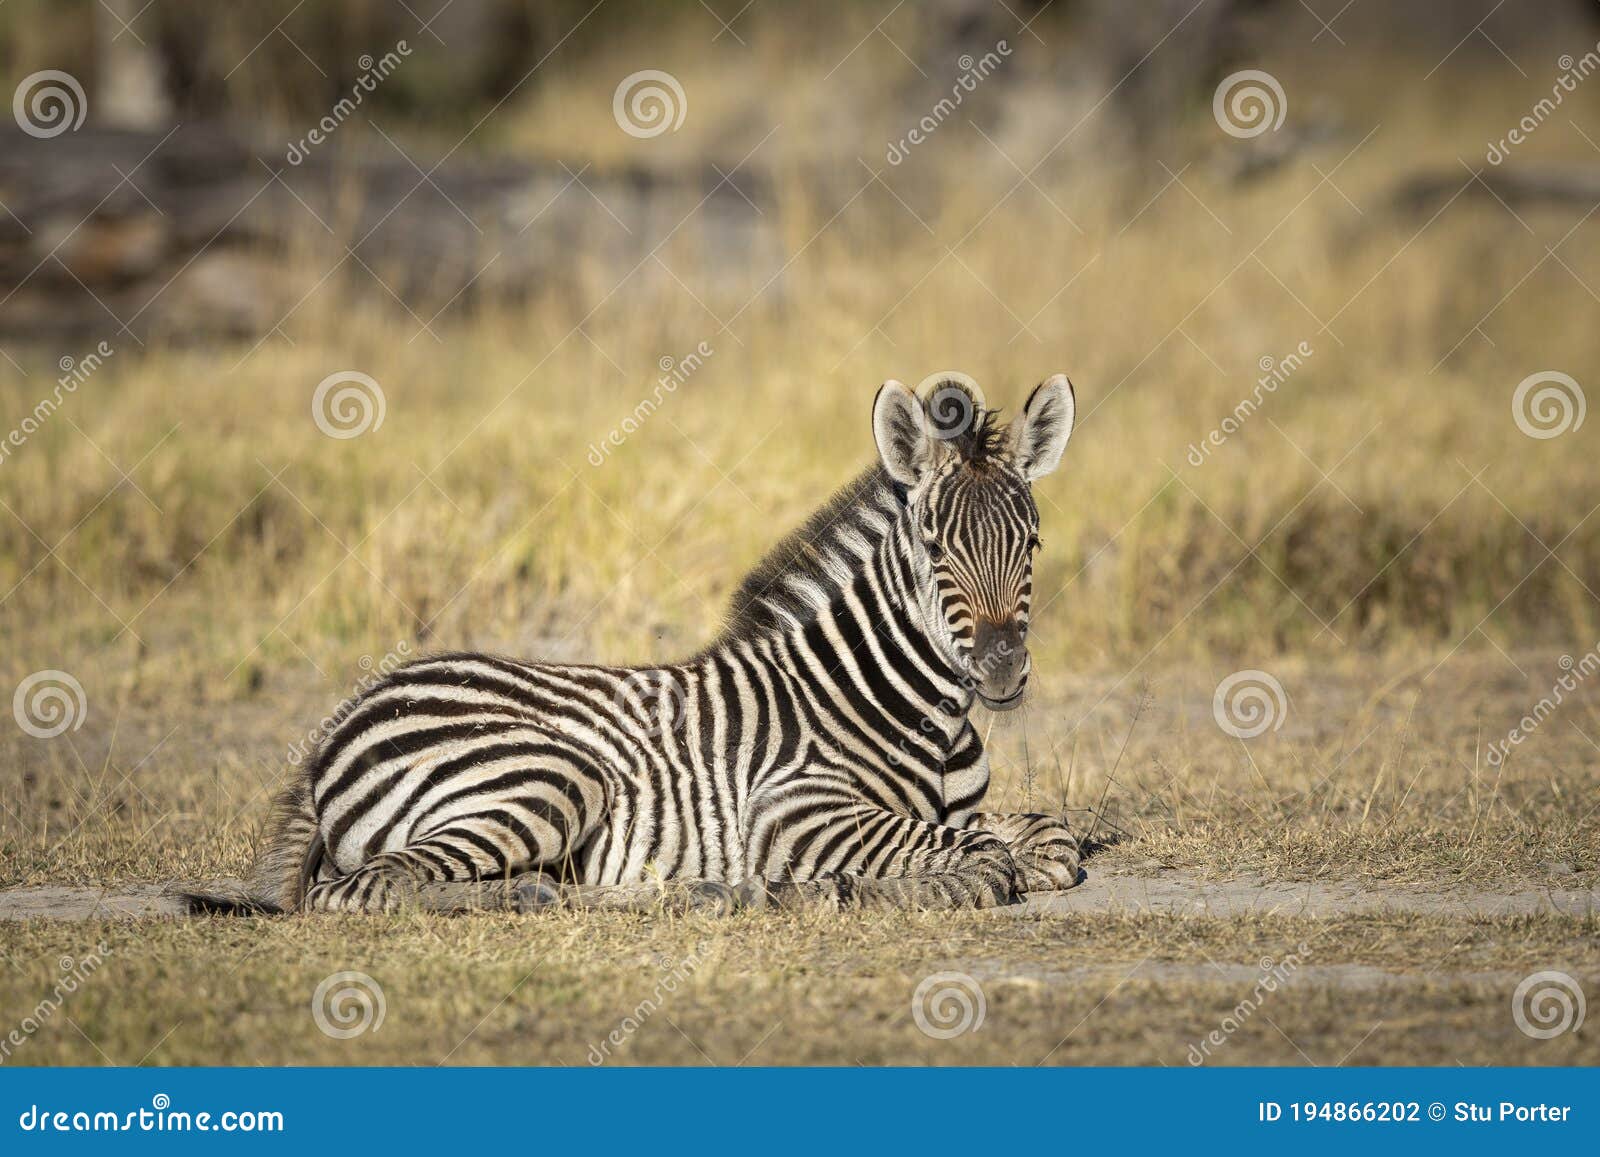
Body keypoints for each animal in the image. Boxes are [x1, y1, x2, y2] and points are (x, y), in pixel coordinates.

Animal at [191, 373, 1082, 914]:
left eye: (1032, 545)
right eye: (936, 550)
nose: (1002, 668)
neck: (919, 710)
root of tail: (338, 723)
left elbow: (1045, 833)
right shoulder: (792, 809)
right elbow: (974, 852)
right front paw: (900, 882)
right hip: (550, 774)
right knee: (363, 889)